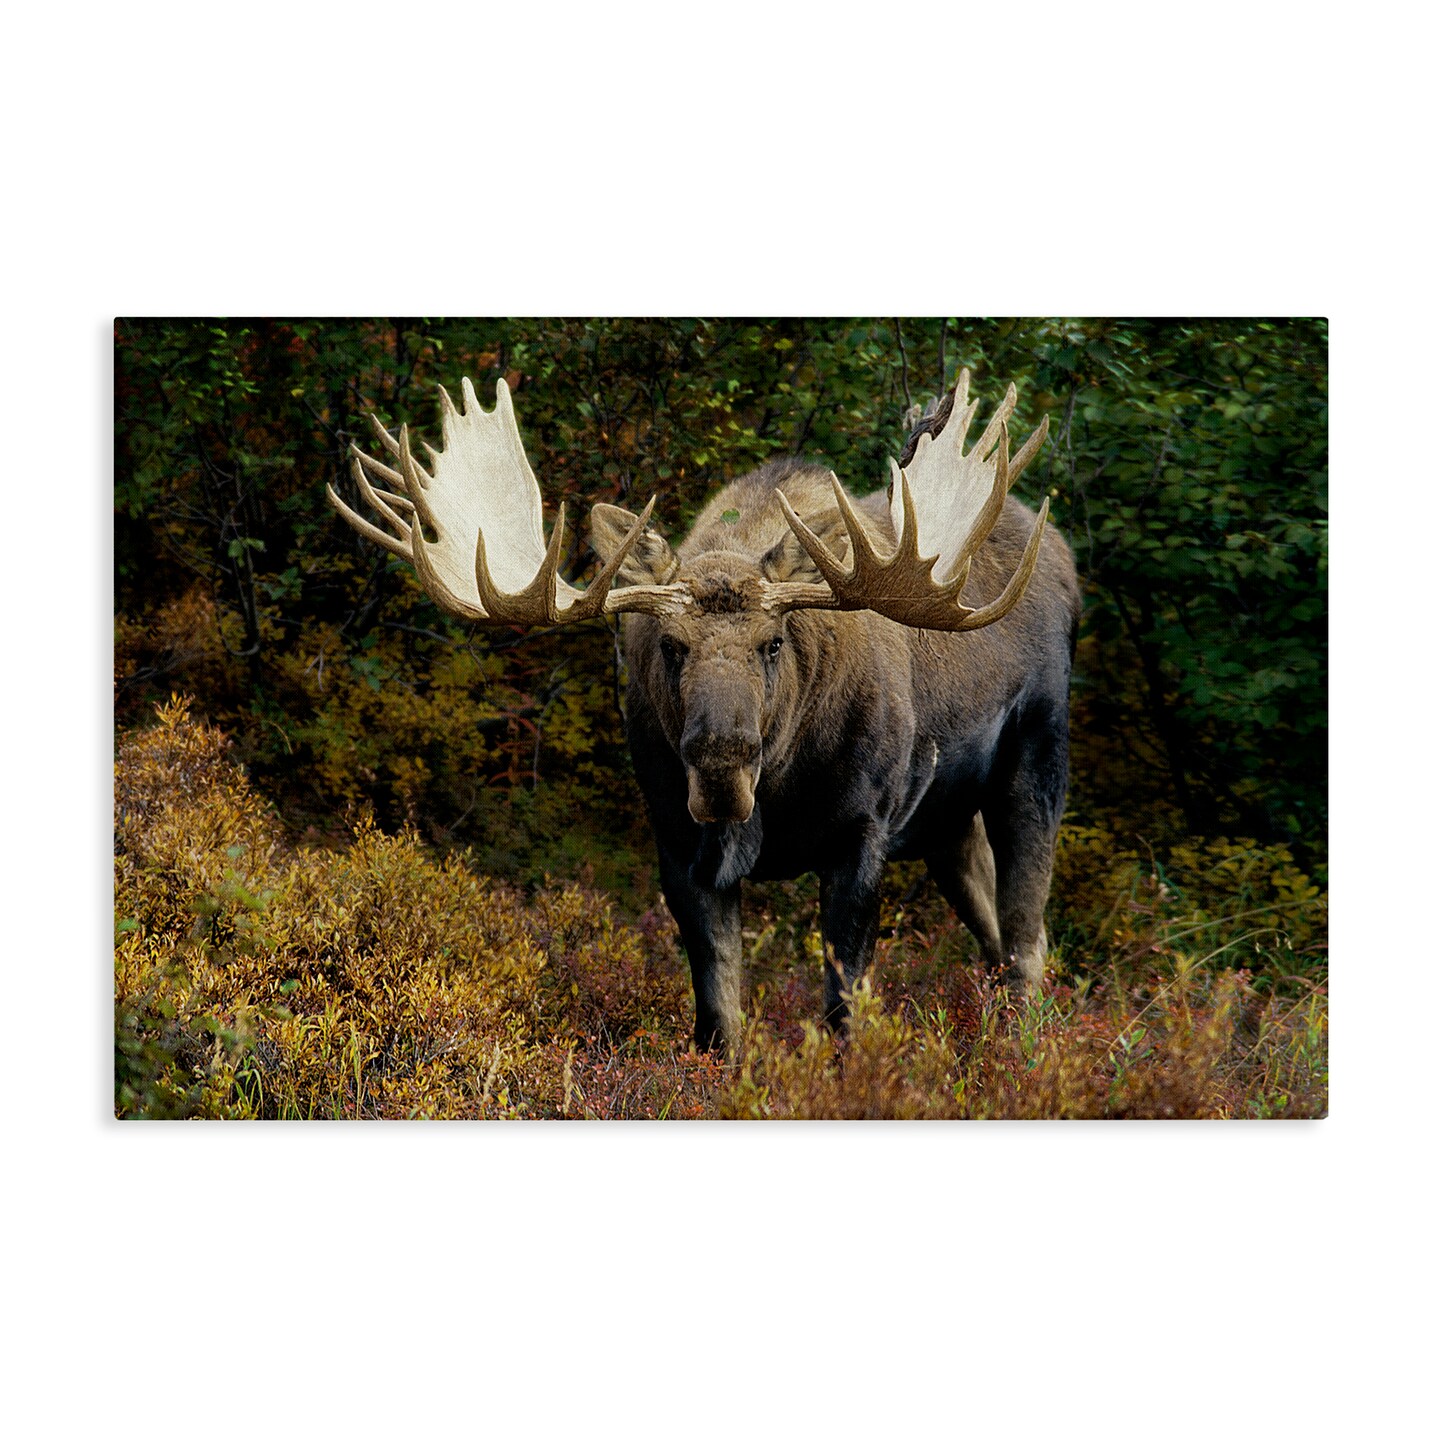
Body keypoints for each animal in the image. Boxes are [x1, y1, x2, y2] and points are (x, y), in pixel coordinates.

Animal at [329, 367, 1082, 1053]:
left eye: (773, 642)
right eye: (671, 644)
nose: (722, 765)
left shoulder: (862, 834)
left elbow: (844, 1010)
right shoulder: (677, 844)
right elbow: (719, 1019)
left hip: (1036, 755)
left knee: (1027, 934)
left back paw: (1023, 1053)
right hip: (945, 821)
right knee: (995, 929)